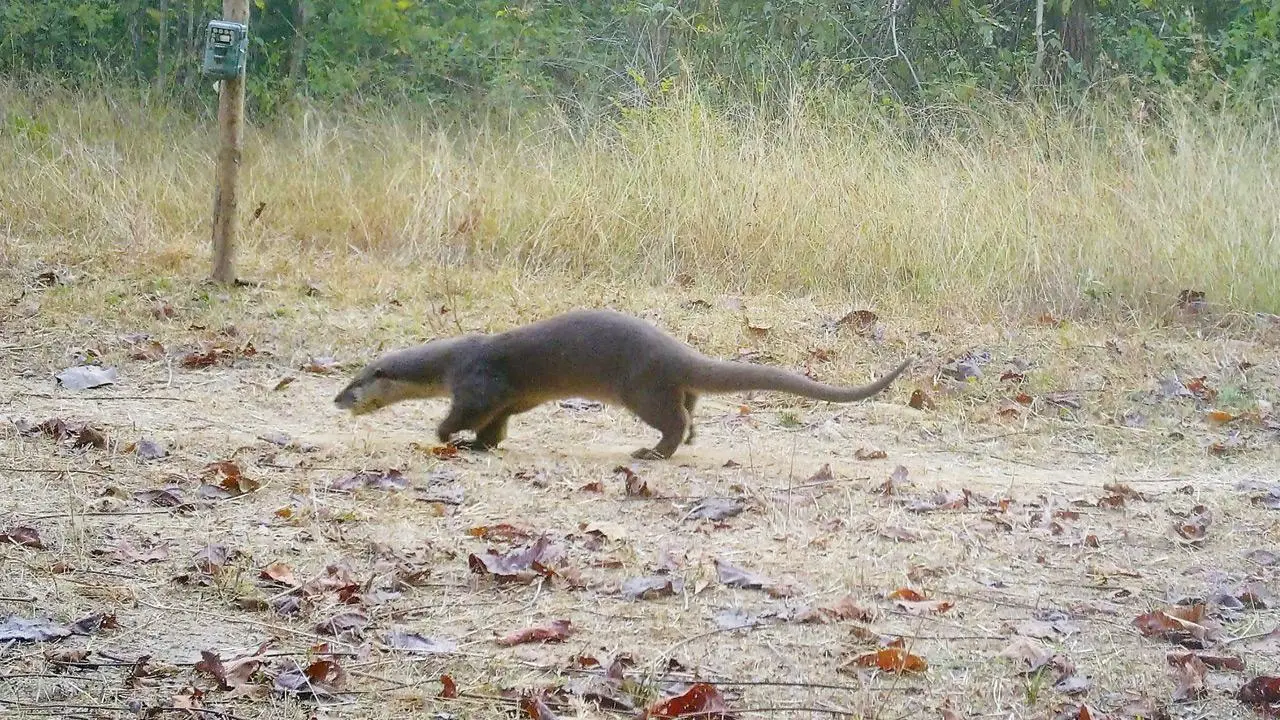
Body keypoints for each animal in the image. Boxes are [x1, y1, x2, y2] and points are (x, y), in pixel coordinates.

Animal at [334, 309, 910, 460]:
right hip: (668, 385)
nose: (336, 400)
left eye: (355, 381)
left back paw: (651, 452)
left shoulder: (476, 382)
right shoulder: (511, 399)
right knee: (692, 408)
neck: (451, 360)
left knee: (673, 418)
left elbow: (466, 412)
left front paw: (442, 435)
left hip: (641, 389)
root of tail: (677, 350)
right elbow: (495, 425)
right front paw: (481, 445)